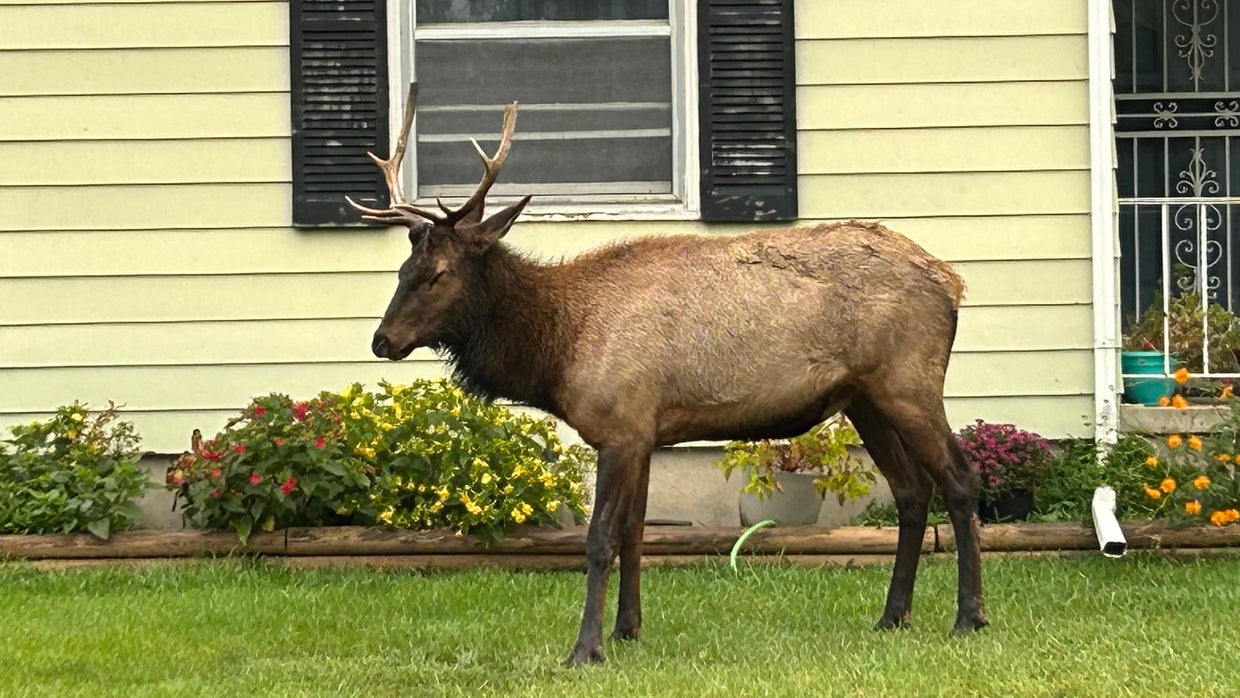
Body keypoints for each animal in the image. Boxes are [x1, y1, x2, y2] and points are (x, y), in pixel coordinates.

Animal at [349, 85, 987, 666]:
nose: (383, 341)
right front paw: (627, 630)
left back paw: (969, 617)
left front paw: (585, 648)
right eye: (402, 269)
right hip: (863, 397)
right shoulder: (644, 430)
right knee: (911, 490)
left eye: (437, 273)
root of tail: (953, 283)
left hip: (909, 381)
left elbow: (601, 538)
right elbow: (636, 530)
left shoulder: (620, 426)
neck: (558, 348)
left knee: (958, 479)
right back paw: (892, 616)